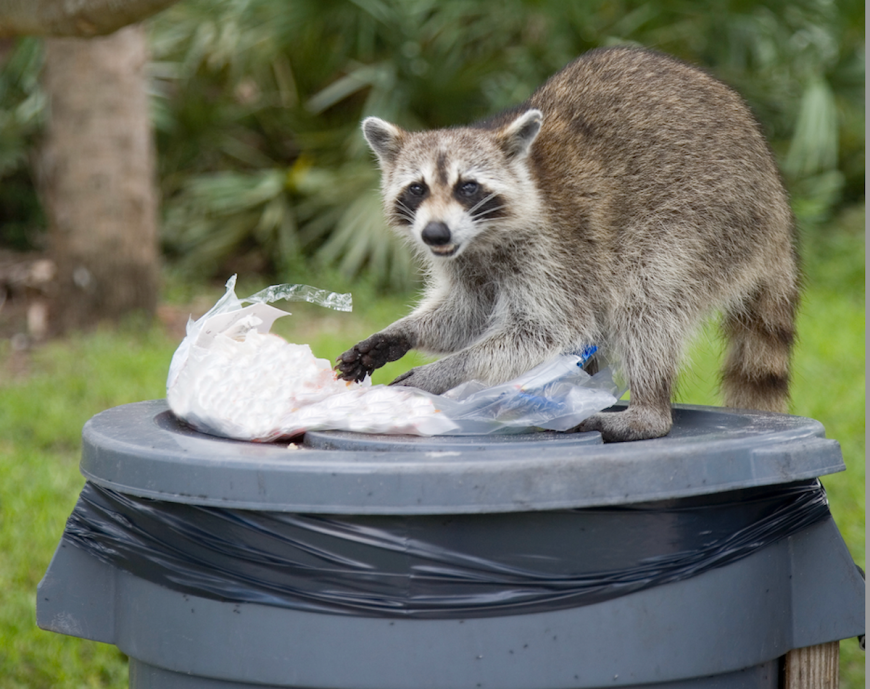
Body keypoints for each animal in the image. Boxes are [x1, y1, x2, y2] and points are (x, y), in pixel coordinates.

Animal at [336, 47, 800, 442]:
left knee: (647, 301)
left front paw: (443, 371)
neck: (480, 240)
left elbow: (550, 331)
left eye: (468, 187)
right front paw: (398, 334)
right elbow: (467, 314)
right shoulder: (467, 262)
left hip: (706, 220)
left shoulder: (557, 251)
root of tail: (777, 199)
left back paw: (646, 412)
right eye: (417, 189)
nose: (435, 234)